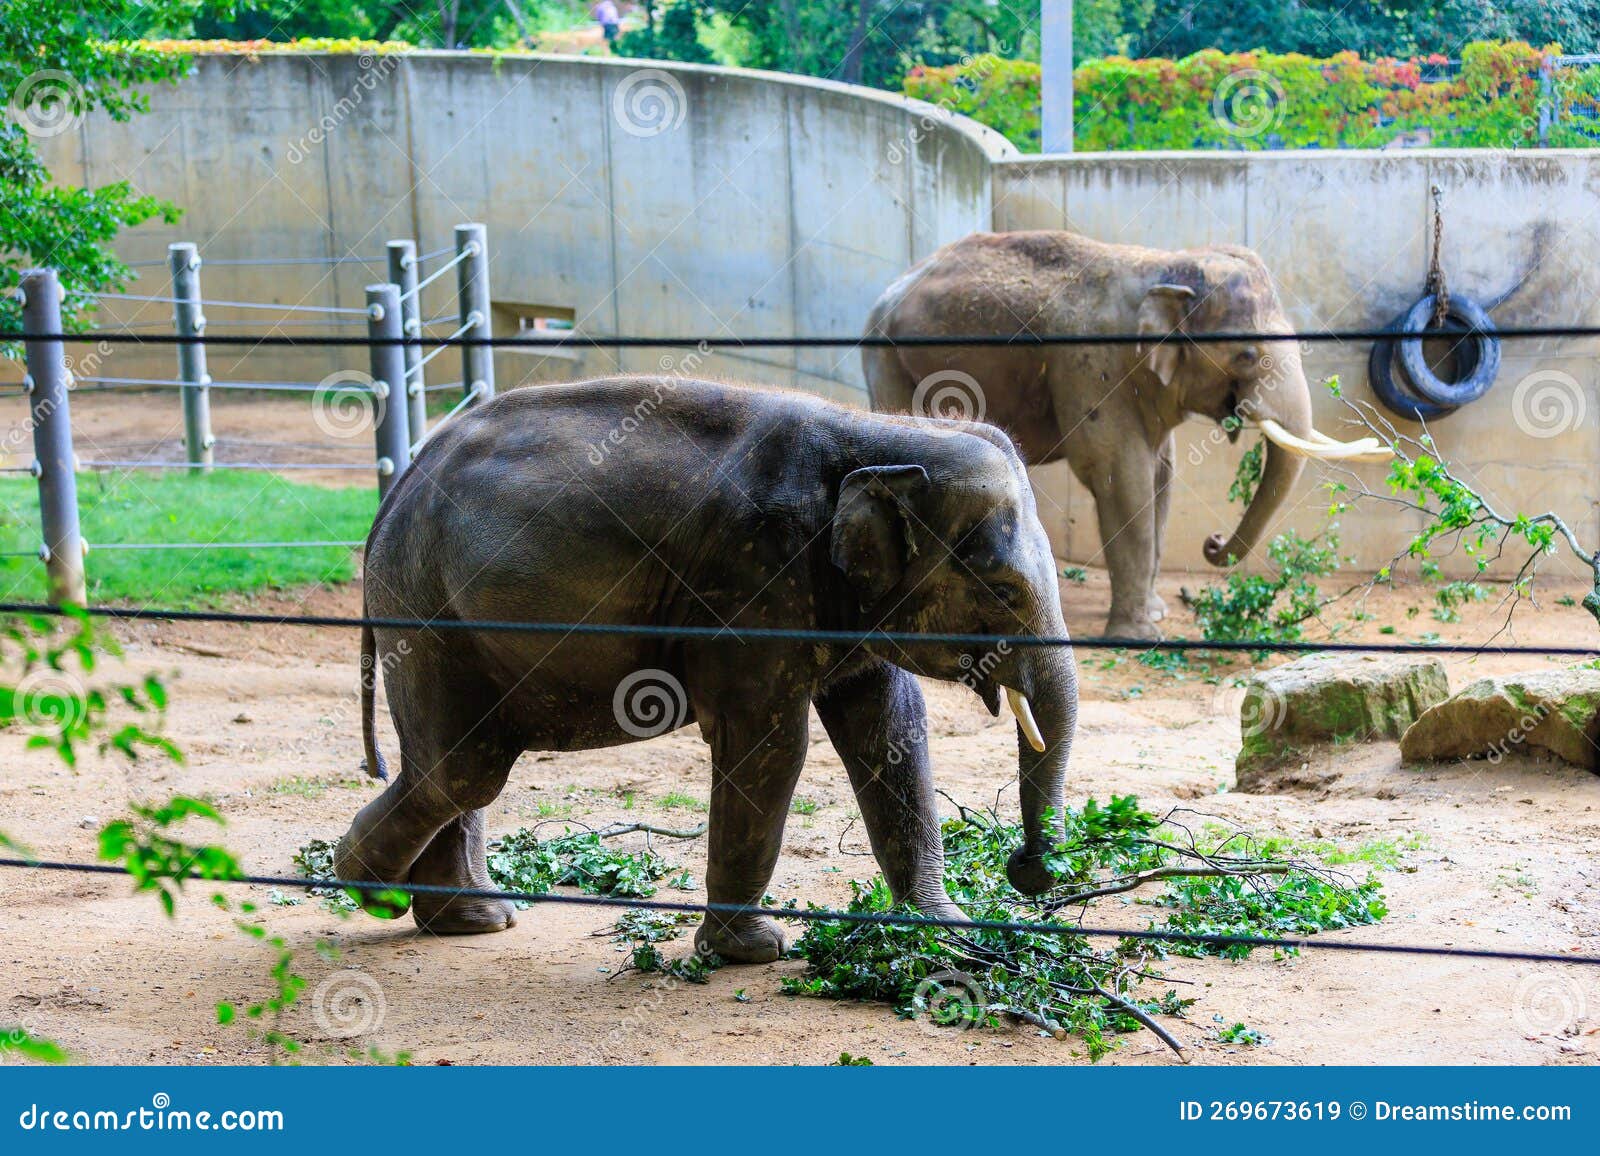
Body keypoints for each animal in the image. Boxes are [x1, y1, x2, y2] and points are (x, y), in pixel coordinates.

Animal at [334, 376, 1079, 963]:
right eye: (1005, 590)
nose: (1027, 866)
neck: (879, 435)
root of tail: (398, 484)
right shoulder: (752, 578)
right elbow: (770, 742)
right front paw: (753, 951)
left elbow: (890, 729)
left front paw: (945, 933)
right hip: (427, 609)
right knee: (464, 767)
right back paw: (373, 889)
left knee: (461, 765)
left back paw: (470, 920)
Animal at [864, 230, 1387, 640]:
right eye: (1245, 354)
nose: (1213, 541)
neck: (1164, 263)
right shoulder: (1091, 364)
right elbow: (1121, 476)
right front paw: (1139, 635)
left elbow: (1162, 475)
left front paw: (1155, 612)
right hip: (889, 361)